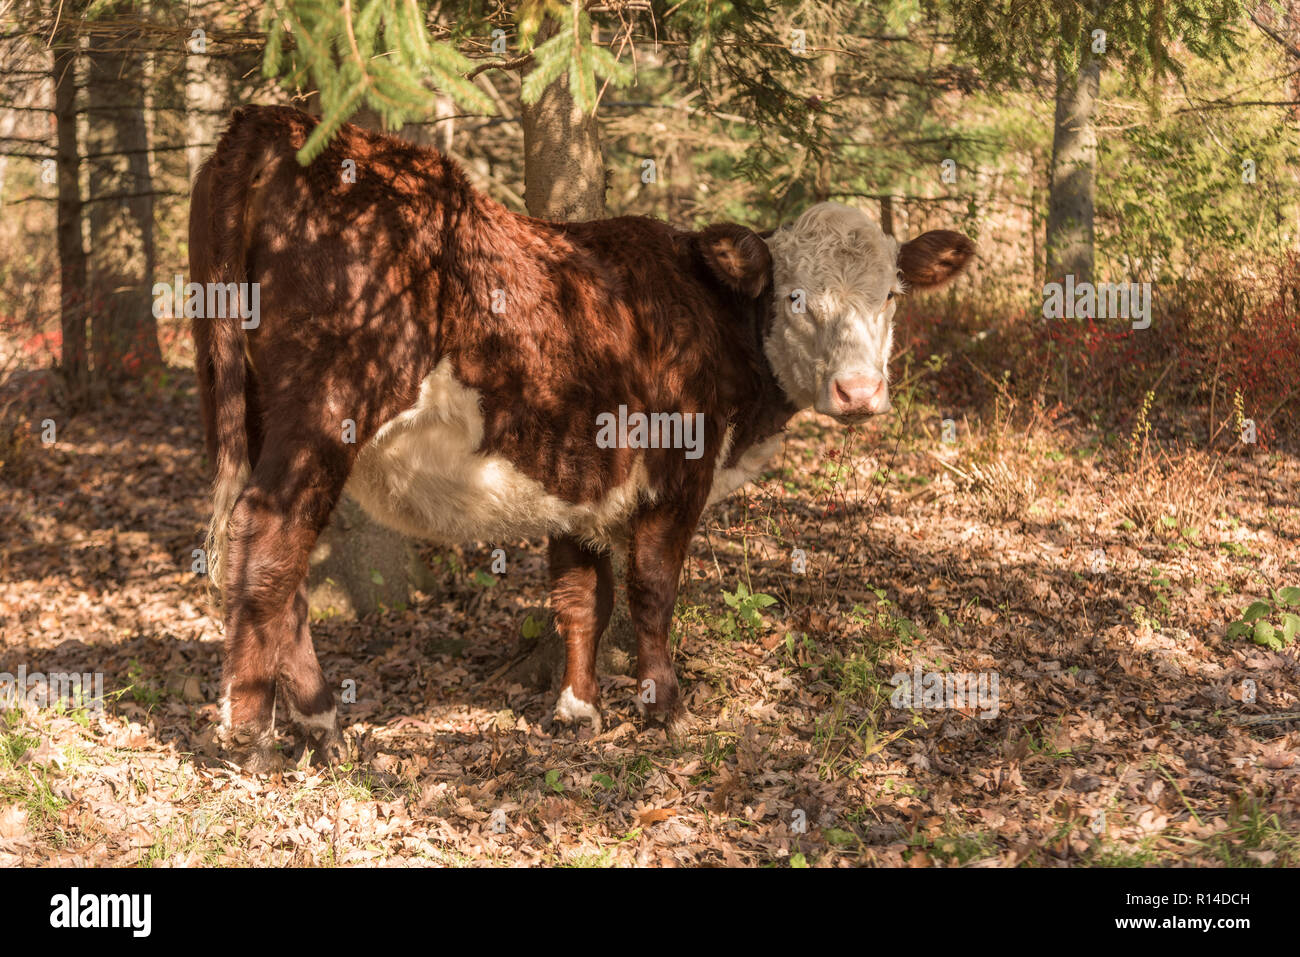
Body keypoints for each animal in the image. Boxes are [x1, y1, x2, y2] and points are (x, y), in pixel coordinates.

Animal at [189, 105, 973, 769]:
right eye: (795, 296)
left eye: (892, 294)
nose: (859, 392)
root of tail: (280, 123)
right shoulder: (675, 472)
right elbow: (651, 590)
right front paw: (665, 706)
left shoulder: (579, 478)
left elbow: (580, 598)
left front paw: (577, 708)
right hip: (324, 411)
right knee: (267, 540)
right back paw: (255, 732)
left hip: (255, 409)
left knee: (284, 569)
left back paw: (320, 725)